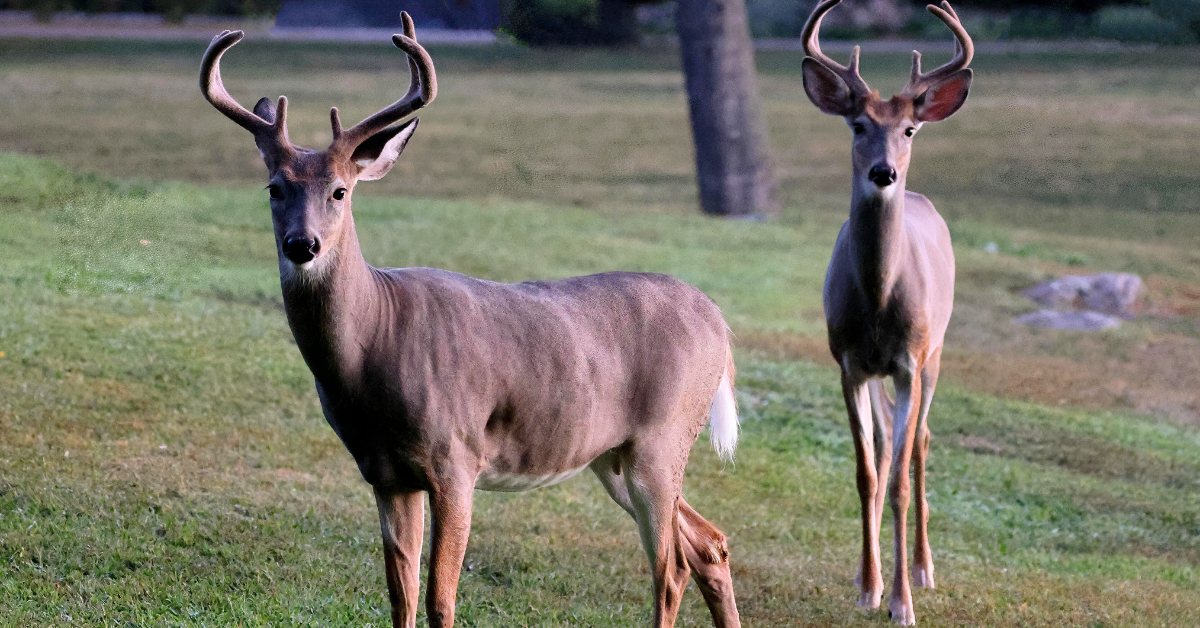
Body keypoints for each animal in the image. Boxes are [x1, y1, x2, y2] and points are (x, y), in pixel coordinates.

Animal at [199, 13, 742, 628]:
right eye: (274, 188)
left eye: (340, 190)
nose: (302, 244)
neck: (377, 341)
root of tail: (720, 323)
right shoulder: (385, 473)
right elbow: (402, 594)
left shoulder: (455, 457)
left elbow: (441, 597)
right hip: (613, 456)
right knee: (710, 543)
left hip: (662, 437)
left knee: (671, 567)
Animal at [798, 0, 972, 624]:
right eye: (857, 126)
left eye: (909, 129)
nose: (884, 172)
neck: (877, 301)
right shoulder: (849, 362)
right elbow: (866, 472)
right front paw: (869, 586)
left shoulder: (908, 361)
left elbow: (896, 479)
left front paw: (901, 602)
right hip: (879, 373)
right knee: (882, 442)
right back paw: (867, 570)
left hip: (937, 352)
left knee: (919, 442)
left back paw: (921, 567)